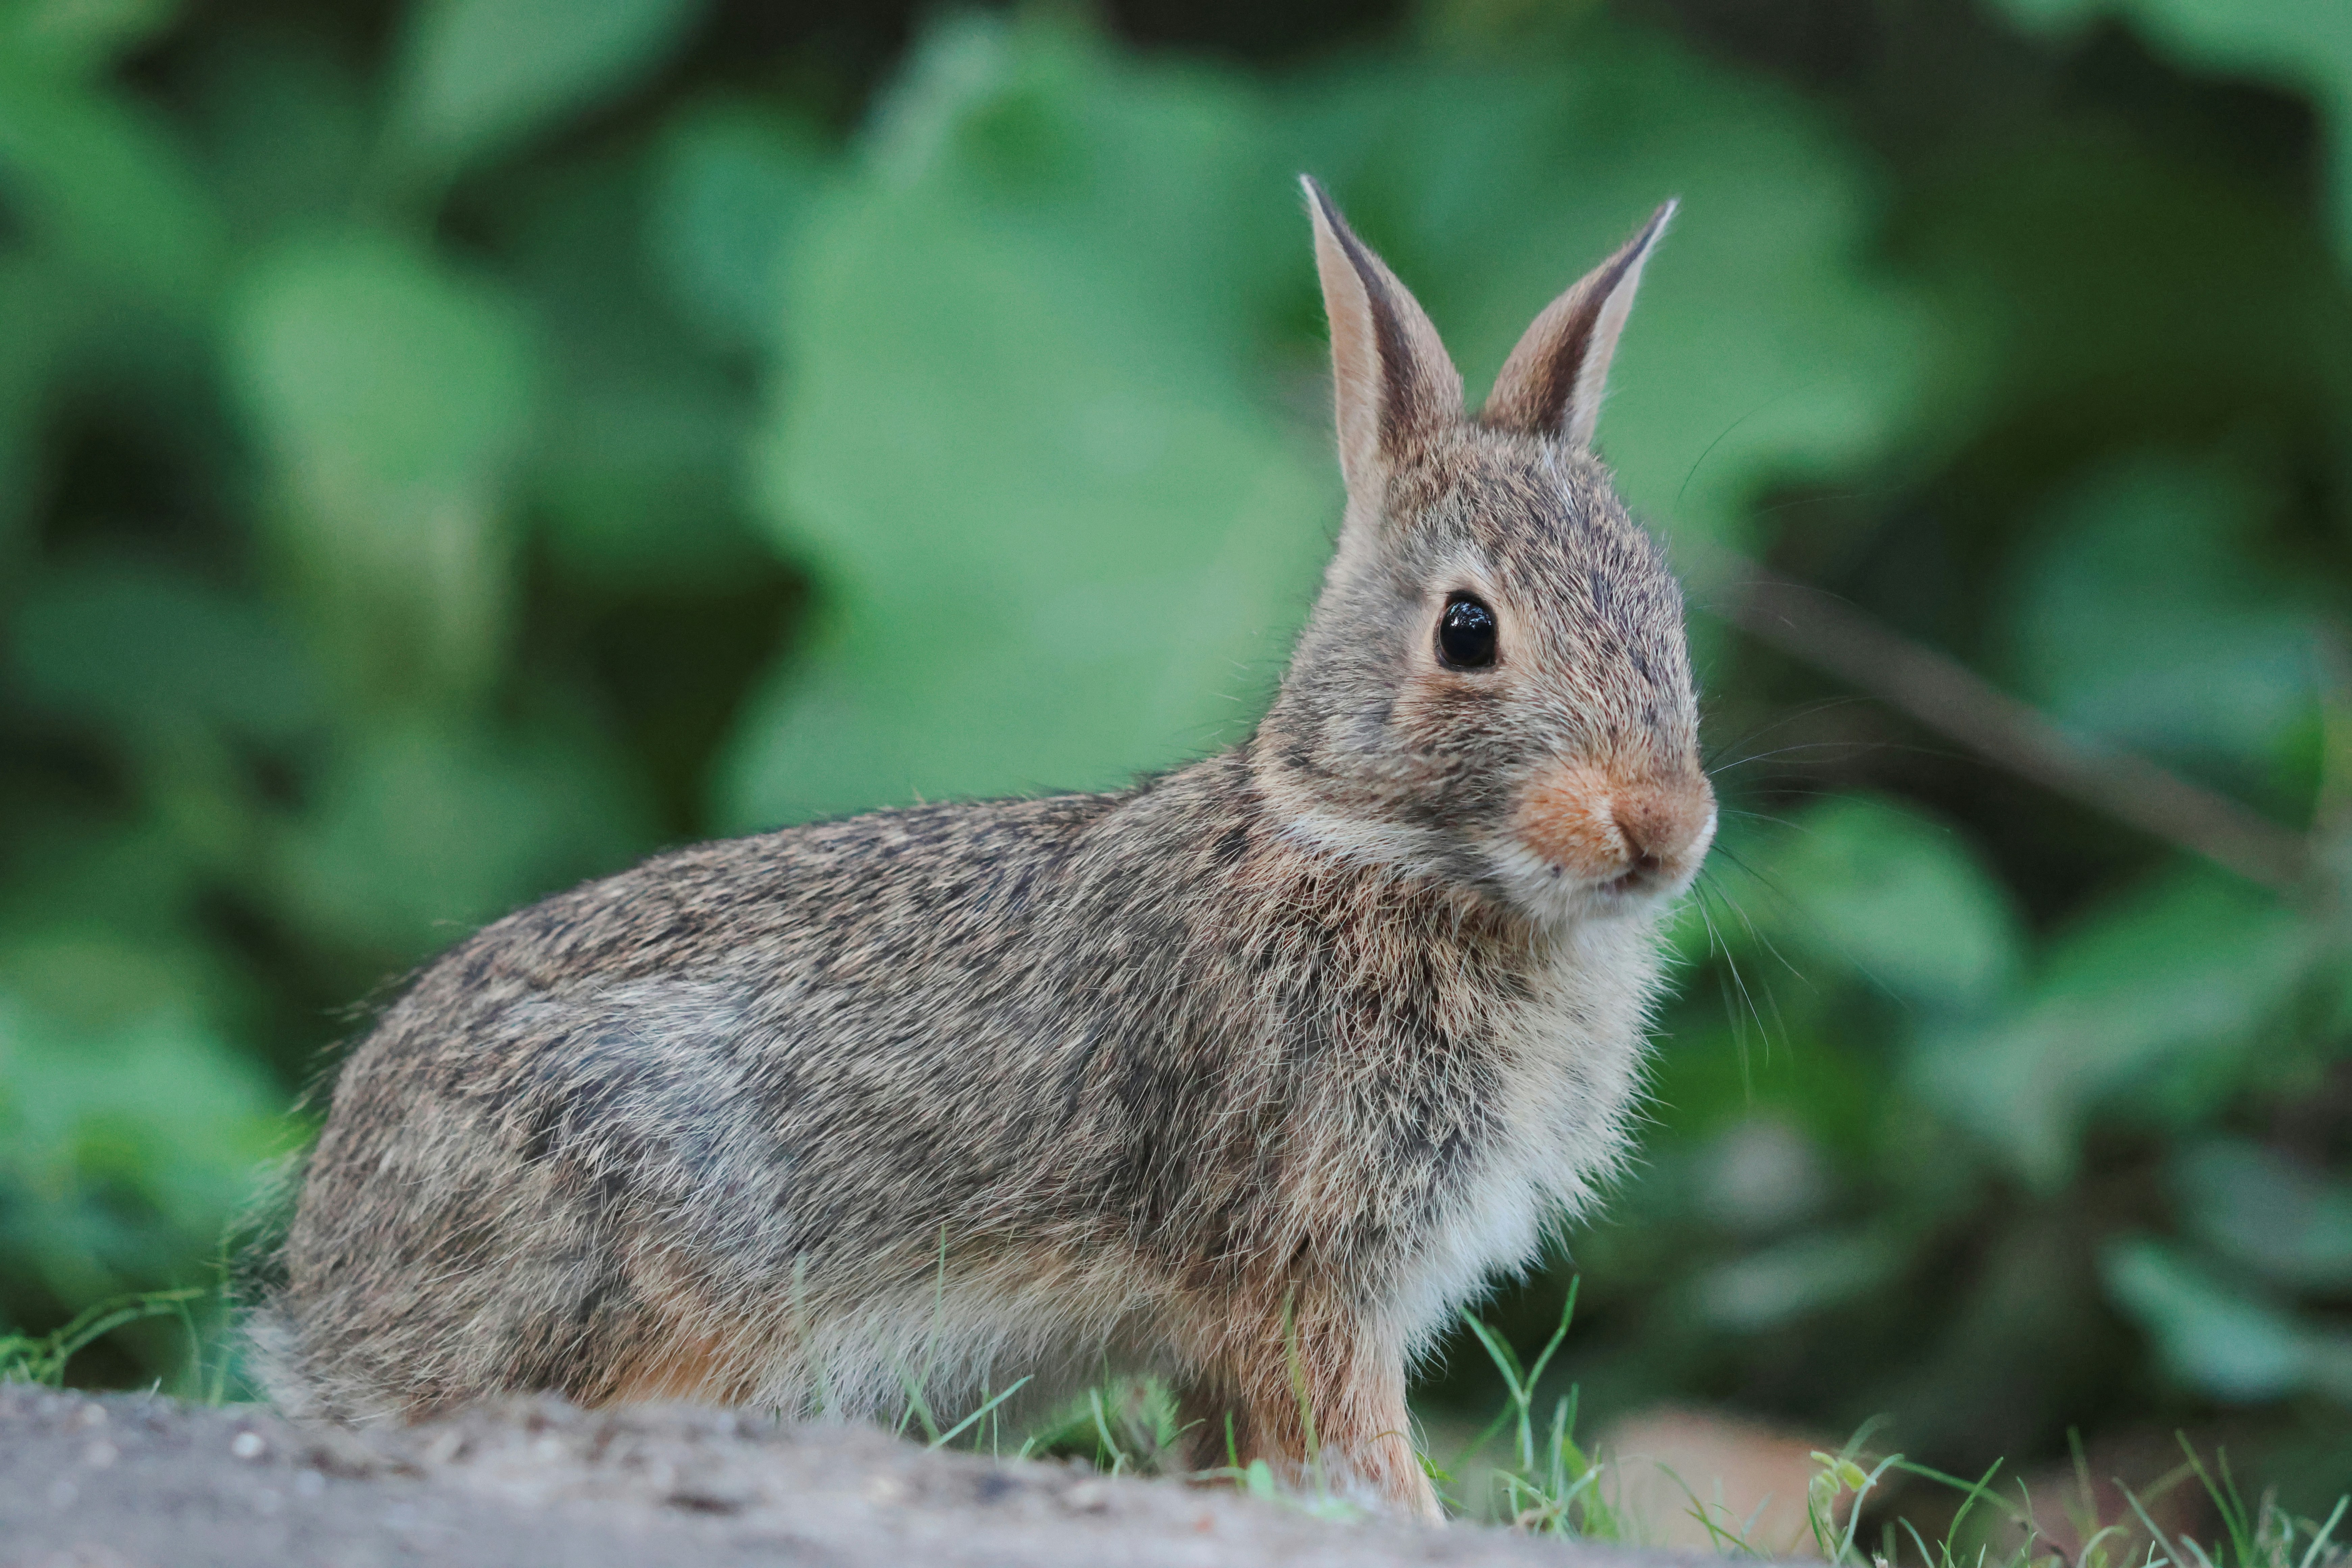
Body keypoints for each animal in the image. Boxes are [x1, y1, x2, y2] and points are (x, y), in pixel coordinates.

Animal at [255, 177, 1716, 1521]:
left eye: (1669, 610)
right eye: (1468, 631)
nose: (1663, 825)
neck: (1375, 845)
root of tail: (329, 1299)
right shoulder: (1303, 1262)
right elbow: (1350, 1438)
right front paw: (1421, 1517)